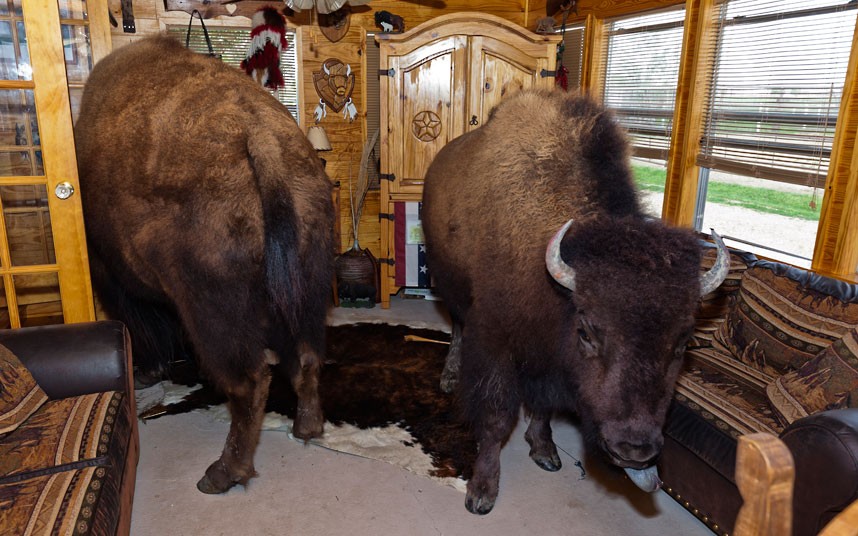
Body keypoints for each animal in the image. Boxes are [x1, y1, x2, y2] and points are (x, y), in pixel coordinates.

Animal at [74, 36, 335, 493]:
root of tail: (260, 136)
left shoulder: (118, 281)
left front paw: (150, 369)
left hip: (214, 309)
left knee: (248, 381)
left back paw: (221, 473)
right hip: (305, 292)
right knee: (304, 358)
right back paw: (306, 427)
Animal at [421, 89, 728, 514]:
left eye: (683, 342)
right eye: (587, 332)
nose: (635, 449)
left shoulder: (549, 356)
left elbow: (544, 406)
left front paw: (544, 450)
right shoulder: (496, 342)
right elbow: (496, 417)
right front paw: (482, 491)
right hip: (447, 283)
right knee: (455, 325)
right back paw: (449, 375)